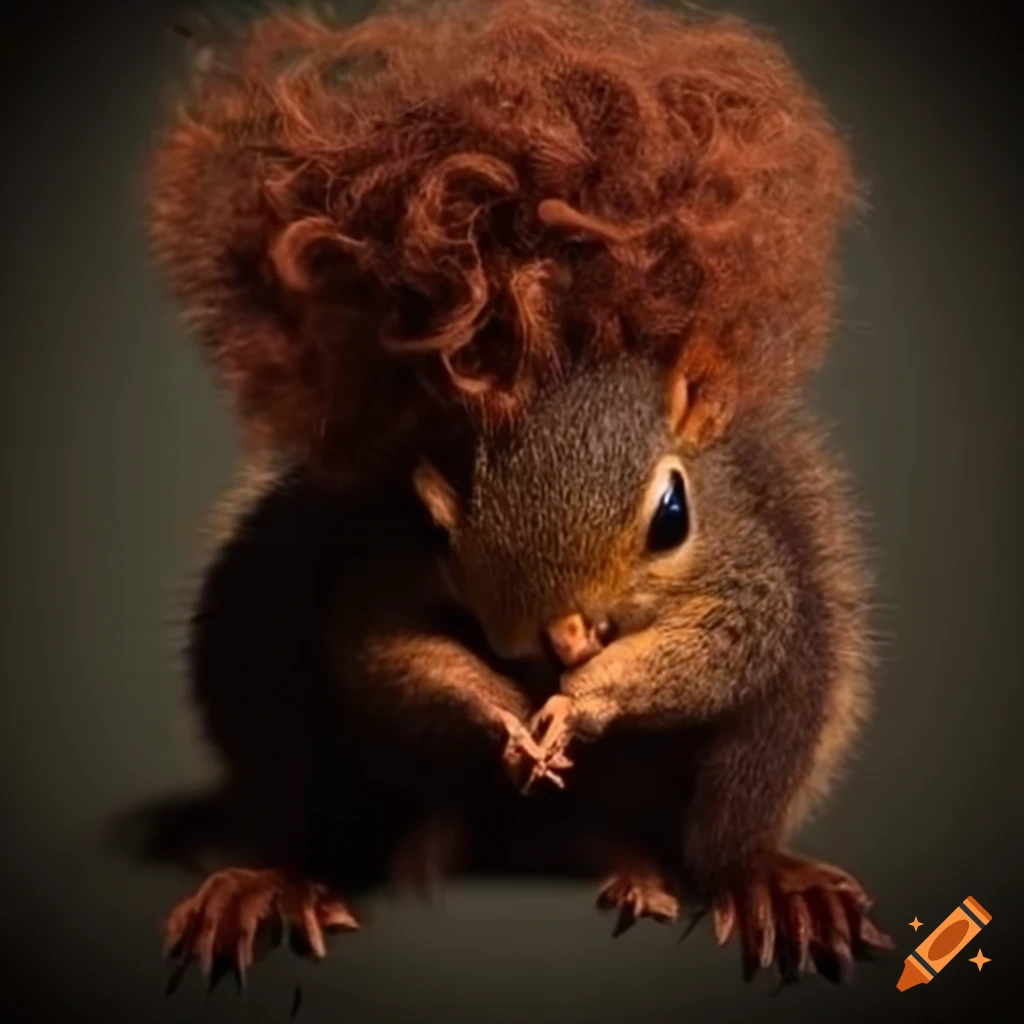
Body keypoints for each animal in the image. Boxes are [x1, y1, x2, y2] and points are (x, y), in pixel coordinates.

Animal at [150, 0, 893, 989]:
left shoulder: (752, 575)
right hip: (279, 702)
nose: (557, 633)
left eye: (675, 515)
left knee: (723, 825)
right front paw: (502, 712)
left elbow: (727, 643)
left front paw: (582, 702)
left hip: (771, 738)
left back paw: (730, 878)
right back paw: (298, 878)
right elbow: (380, 648)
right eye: (435, 525)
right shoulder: (386, 568)